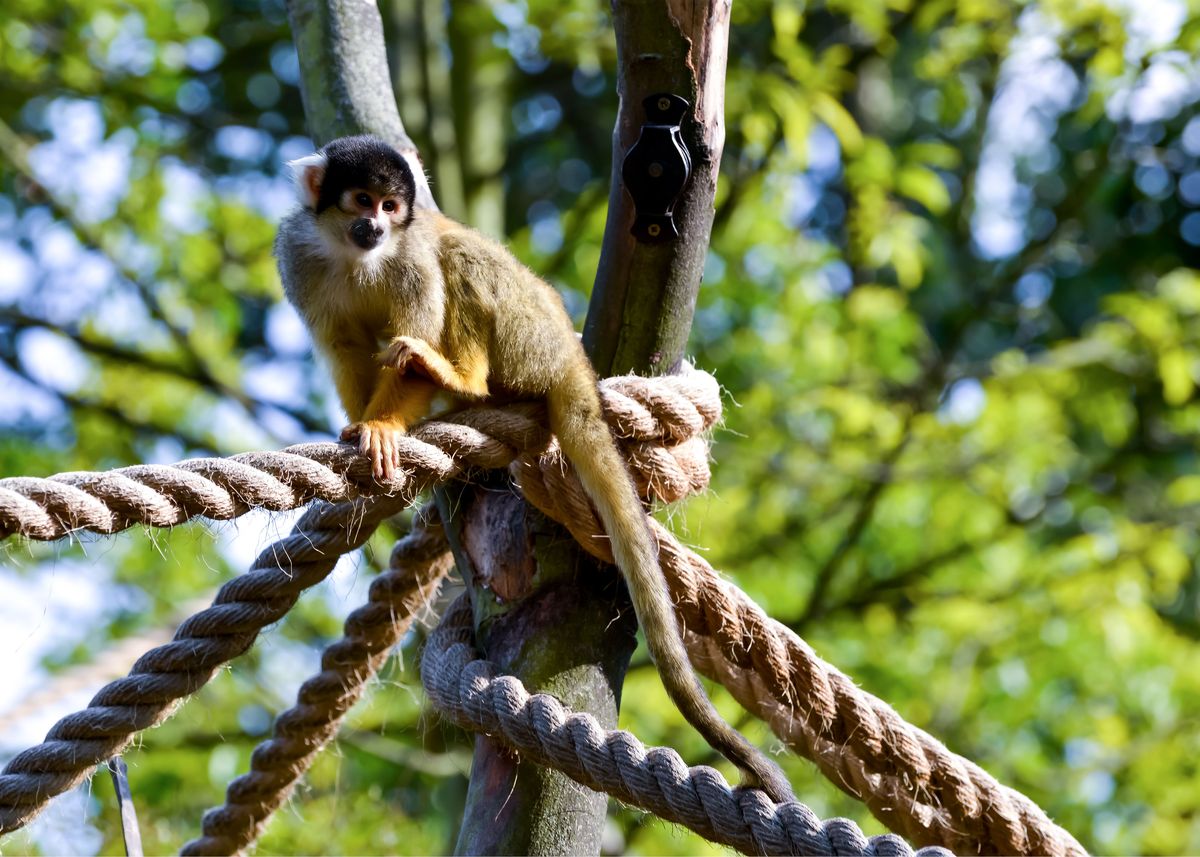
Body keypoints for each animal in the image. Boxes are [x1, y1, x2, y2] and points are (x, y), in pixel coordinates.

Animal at [276, 135, 793, 804]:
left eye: (391, 206)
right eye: (362, 201)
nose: (377, 226)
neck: (354, 253)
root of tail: (575, 357)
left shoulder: (409, 256)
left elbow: (419, 315)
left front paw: (384, 425)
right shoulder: (299, 256)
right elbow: (342, 349)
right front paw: (359, 427)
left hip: (530, 338)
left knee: (458, 260)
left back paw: (460, 376)